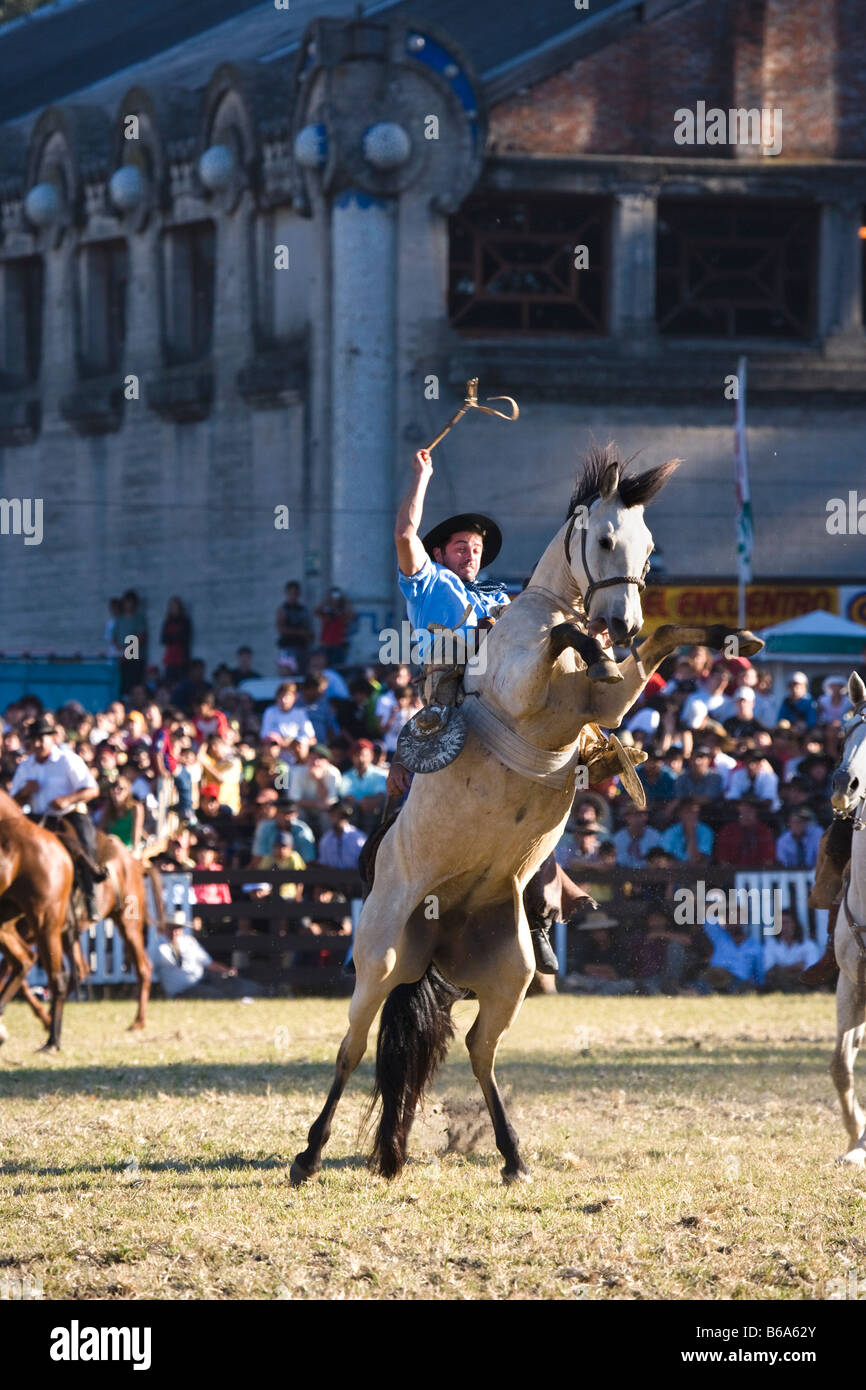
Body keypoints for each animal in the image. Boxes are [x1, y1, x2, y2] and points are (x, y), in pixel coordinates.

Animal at [292, 445, 763, 1186]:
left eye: (649, 547)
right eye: (604, 540)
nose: (620, 624)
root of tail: (437, 928)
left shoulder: (611, 700)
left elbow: (663, 639)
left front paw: (733, 635)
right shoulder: (525, 685)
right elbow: (567, 638)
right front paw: (594, 644)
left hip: (509, 971)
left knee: (479, 1048)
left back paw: (512, 1155)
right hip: (379, 955)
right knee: (352, 1045)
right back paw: (308, 1154)